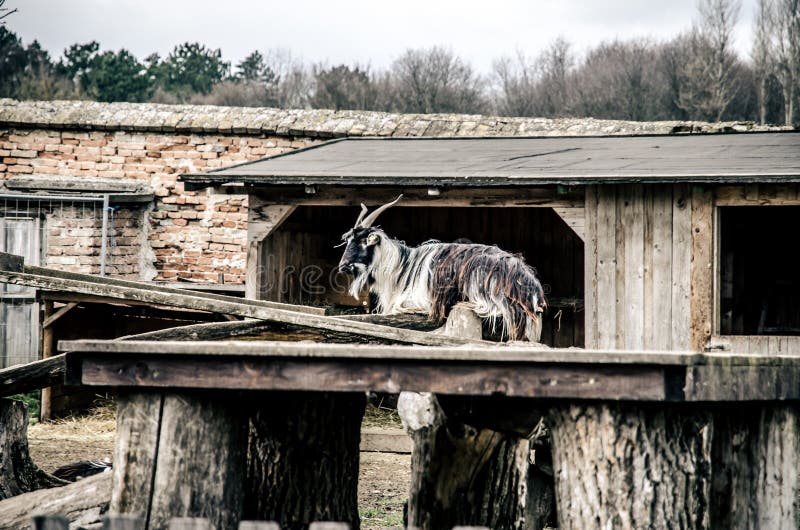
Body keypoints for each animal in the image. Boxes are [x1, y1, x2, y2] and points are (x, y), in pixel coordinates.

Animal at [337, 195, 546, 341]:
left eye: (363, 241)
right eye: (348, 240)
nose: (342, 266)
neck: (401, 268)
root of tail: (531, 290)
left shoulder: (415, 299)